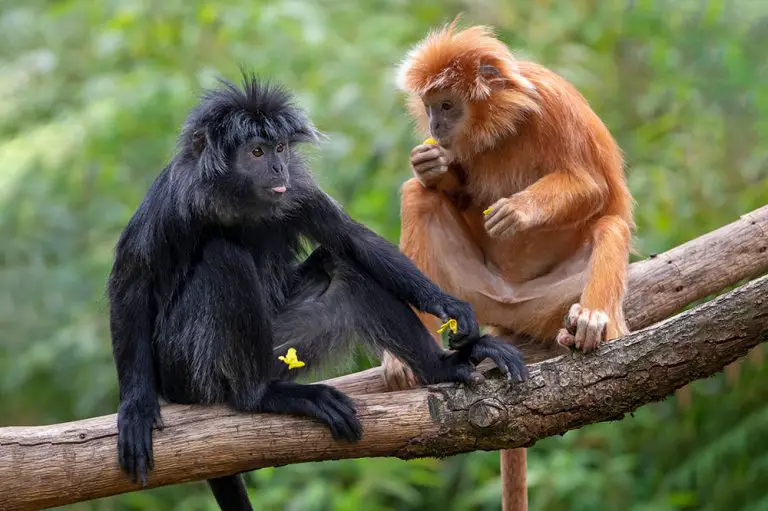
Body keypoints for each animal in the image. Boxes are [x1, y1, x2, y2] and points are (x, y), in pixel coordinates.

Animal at [107, 73, 528, 511]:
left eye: (278, 148)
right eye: (256, 152)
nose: (278, 167)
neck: (238, 201)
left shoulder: (297, 189)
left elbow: (353, 241)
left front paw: (448, 306)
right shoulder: (172, 198)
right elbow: (130, 284)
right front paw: (135, 407)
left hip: (282, 347)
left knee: (346, 272)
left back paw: (442, 367)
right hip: (186, 362)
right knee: (223, 257)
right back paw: (262, 395)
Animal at [380, 23, 634, 511]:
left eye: (446, 105)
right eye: (429, 107)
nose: (435, 126)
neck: (506, 124)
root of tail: (510, 304)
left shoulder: (553, 106)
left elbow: (591, 187)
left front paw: (518, 211)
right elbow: (447, 188)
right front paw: (431, 167)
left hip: (549, 301)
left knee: (608, 226)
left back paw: (590, 324)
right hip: (471, 291)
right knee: (418, 197)